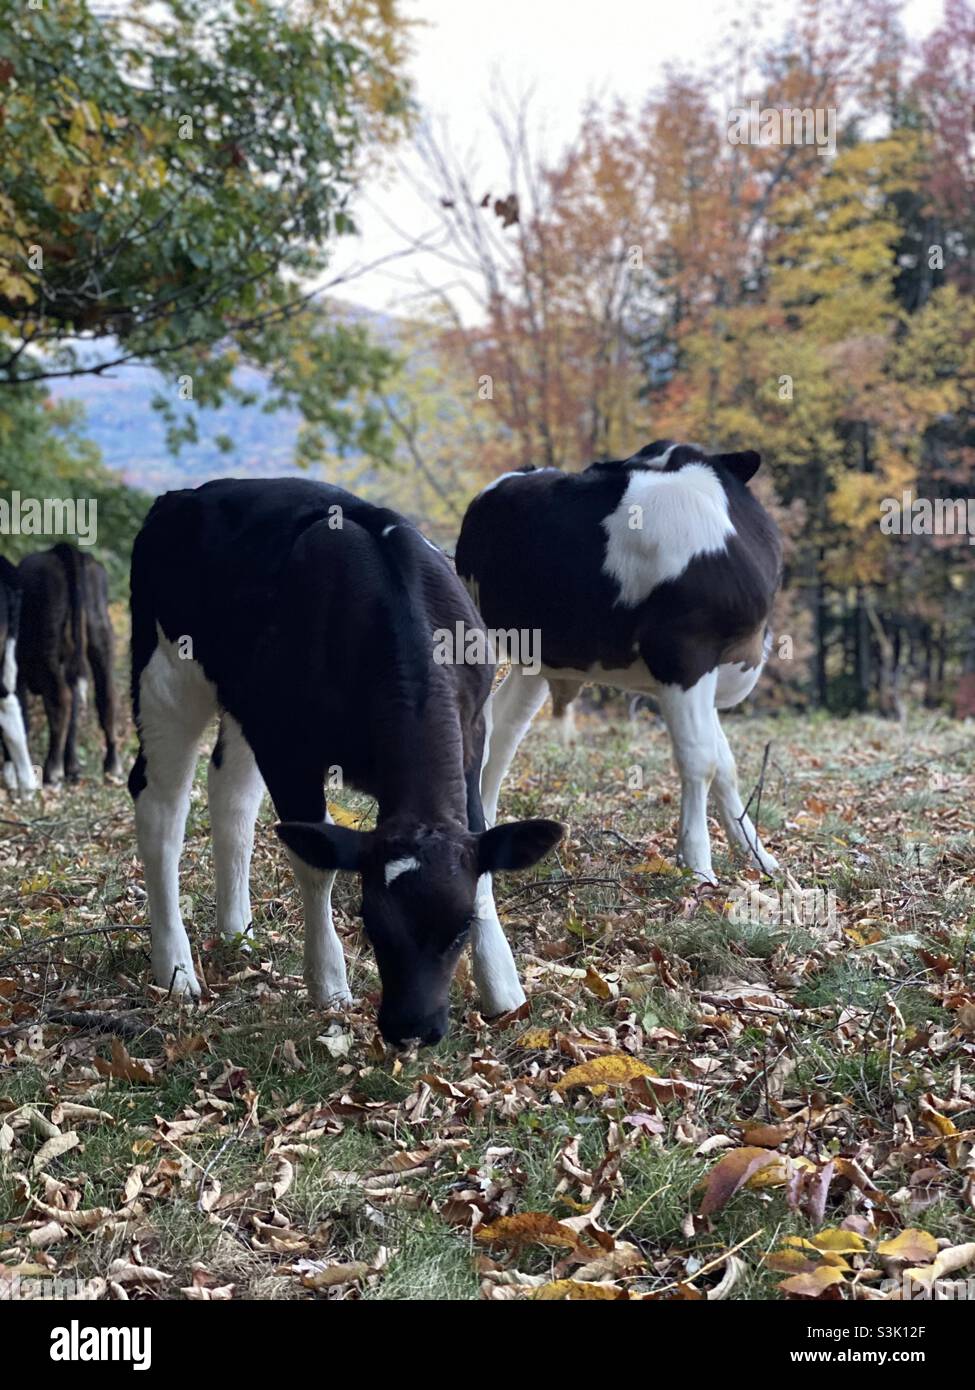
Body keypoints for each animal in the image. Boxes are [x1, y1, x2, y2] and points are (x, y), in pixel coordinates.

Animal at [14, 543, 121, 785]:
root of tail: (62, 550)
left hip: (49, 647)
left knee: (61, 700)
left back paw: (53, 770)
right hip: (100, 635)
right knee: (105, 697)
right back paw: (110, 766)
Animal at [128, 479, 562, 1047]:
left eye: (460, 927)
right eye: (370, 922)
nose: (412, 1028)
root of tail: (183, 494)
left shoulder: (473, 733)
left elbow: (482, 843)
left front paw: (502, 986)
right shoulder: (289, 747)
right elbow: (315, 862)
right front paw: (329, 983)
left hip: (247, 703)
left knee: (230, 796)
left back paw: (237, 932)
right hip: (164, 676)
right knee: (161, 805)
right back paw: (176, 968)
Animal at [455, 440, 783, 885]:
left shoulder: (707, 673)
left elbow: (725, 764)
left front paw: (755, 854)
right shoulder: (684, 656)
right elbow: (700, 759)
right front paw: (698, 866)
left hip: (535, 655)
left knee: (504, 725)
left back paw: (490, 823)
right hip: (473, 636)